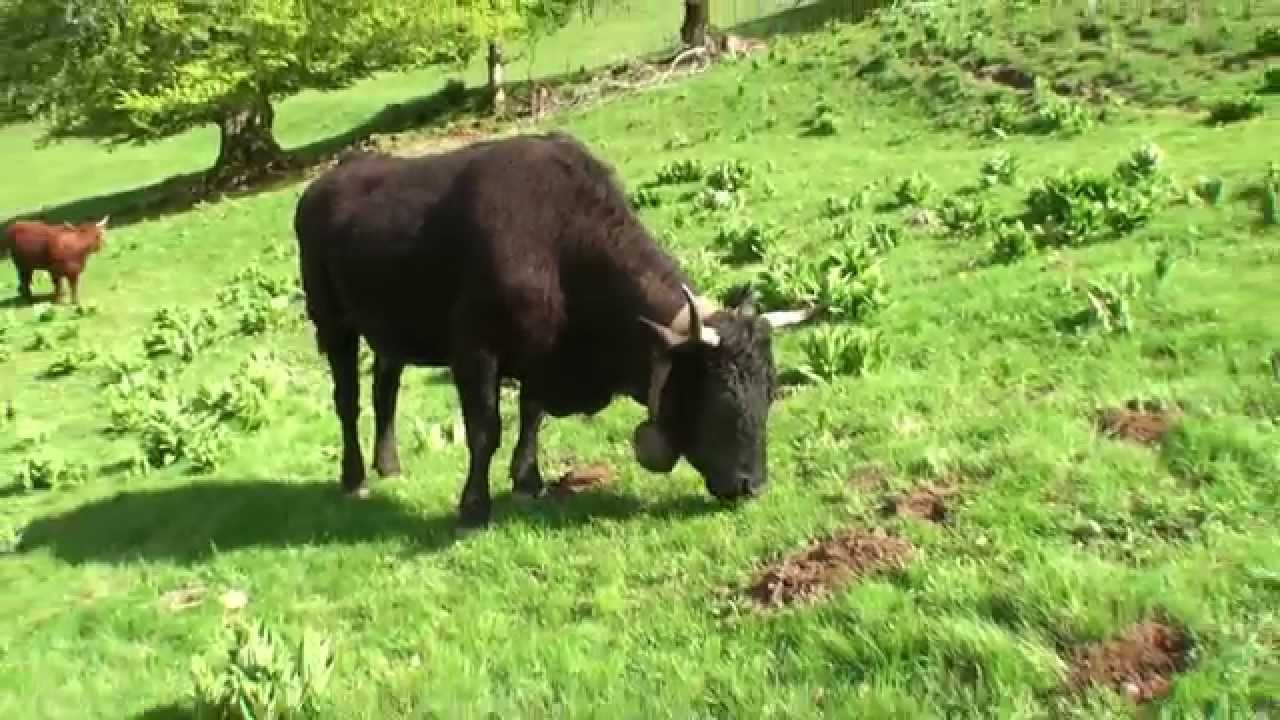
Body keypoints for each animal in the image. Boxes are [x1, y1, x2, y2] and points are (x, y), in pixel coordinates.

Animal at [293, 132, 813, 529]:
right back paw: (355, 478)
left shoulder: (541, 356)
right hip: (332, 322)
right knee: (347, 401)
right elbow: (485, 429)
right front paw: (474, 507)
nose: (751, 485)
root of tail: (329, 178)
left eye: (769, 393)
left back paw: (389, 465)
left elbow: (532, 415)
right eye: (720, 398)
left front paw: (528, 481)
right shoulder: (475, 350)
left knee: (384, 392)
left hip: (390, 332)